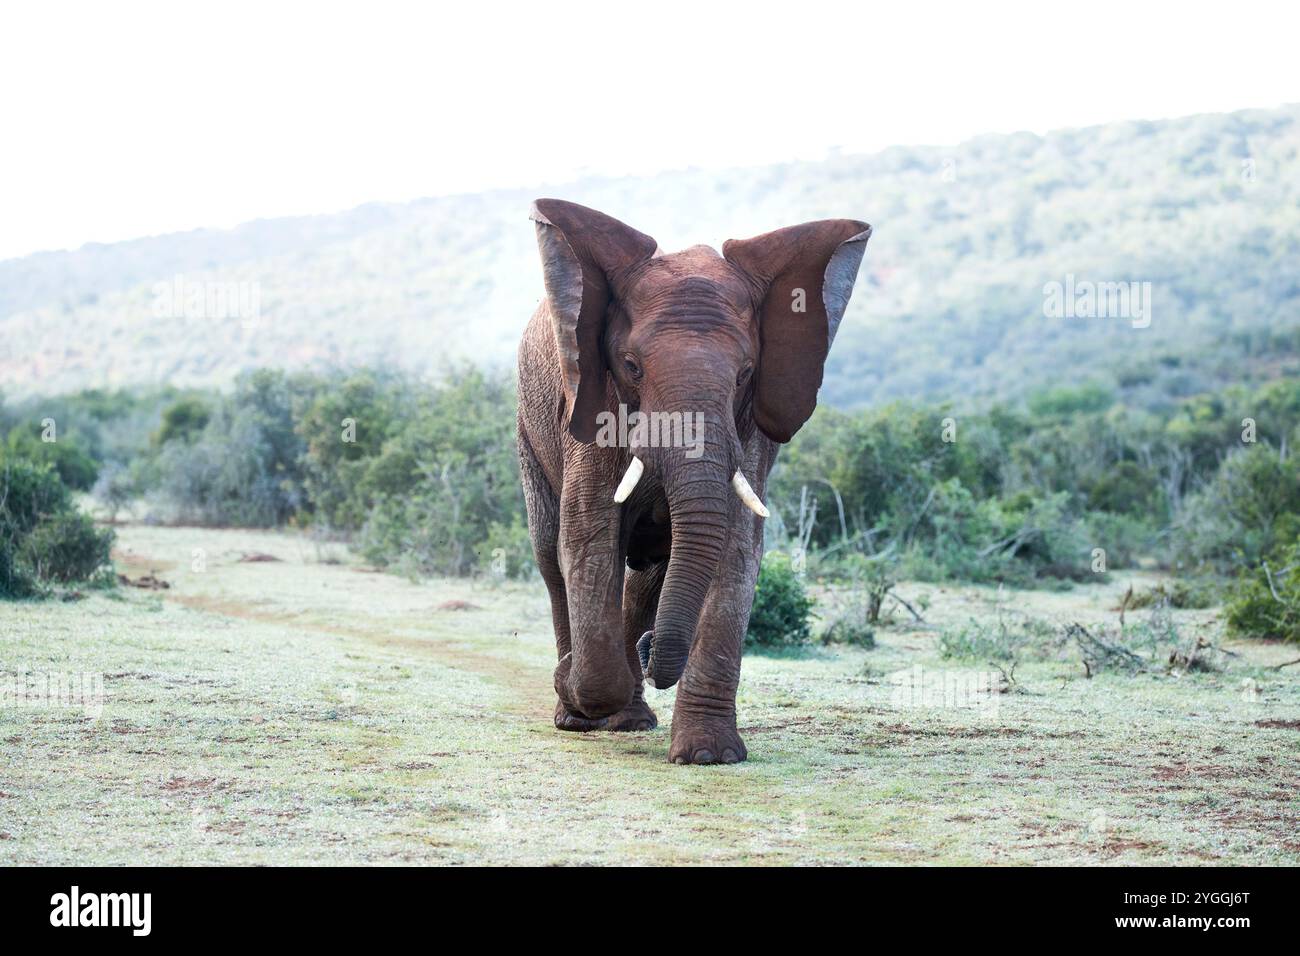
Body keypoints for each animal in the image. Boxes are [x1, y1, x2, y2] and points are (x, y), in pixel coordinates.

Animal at [516, 199, 871, 764]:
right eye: (631, 366)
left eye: (746, 373)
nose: (651, 652)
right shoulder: (594, 406)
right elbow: (588, 536)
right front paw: (571, 683)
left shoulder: (750, 429)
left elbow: (737, 549)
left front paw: (709, 756)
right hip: (530, 432)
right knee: (551, 557)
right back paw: (577, 713)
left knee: (648, 578)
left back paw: (630, 713)